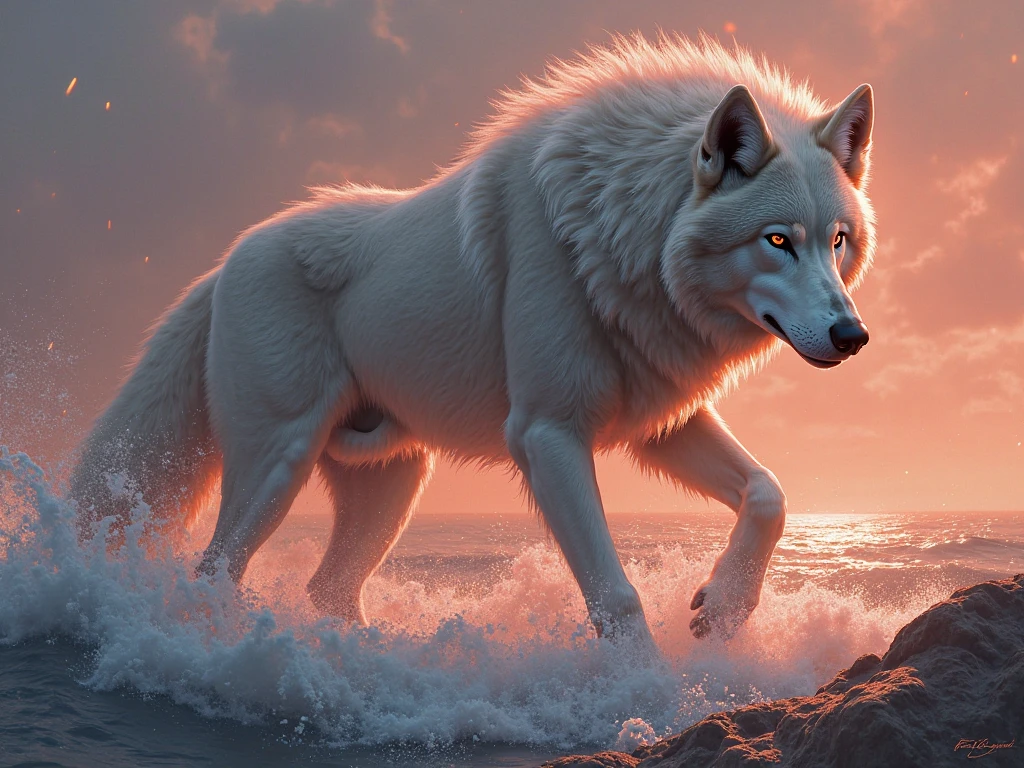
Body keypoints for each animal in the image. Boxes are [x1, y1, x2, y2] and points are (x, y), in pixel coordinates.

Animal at [71, 34, 876, 642]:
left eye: (837, 241)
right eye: (777, 240)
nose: (854, 335)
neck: (615, 235)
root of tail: (222, 264)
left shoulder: (659, 424)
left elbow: (769, 493)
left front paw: (727, 608)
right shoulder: (548, 435)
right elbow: (617, 600)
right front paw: (647, 702)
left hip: (393, 485)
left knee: (327, 590)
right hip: (279, 466)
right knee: (213, 572)